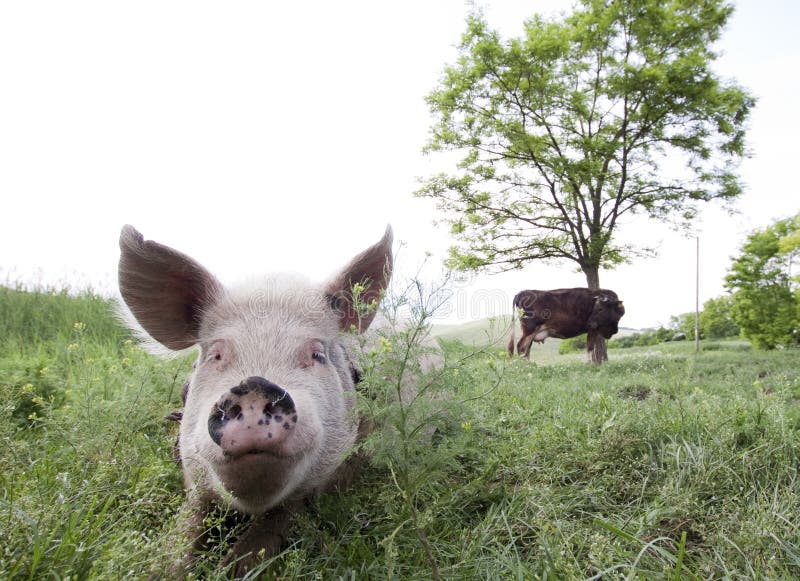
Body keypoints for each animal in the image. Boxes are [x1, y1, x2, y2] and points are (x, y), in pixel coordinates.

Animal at [117, 224, 392, 576]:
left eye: (317, 354)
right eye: (216, 354)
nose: (254, 386)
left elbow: (268, 532)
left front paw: (229, 567)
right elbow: (181, 538)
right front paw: (162, 568)